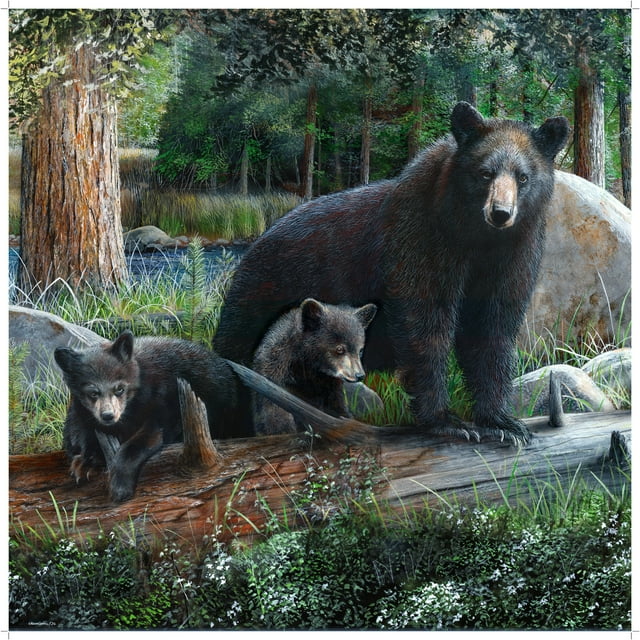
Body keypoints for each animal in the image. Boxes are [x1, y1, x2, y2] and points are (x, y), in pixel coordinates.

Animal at [252, 298, 377, 435]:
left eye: (360, 350)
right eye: (339, 349)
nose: (359, 375)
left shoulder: (330, 387)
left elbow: (337, 409)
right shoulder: (275, 372)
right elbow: (273, 411)